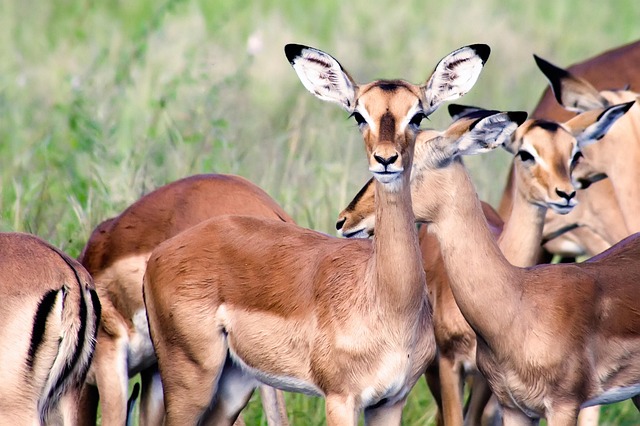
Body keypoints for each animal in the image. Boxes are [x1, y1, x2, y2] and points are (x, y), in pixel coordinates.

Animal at [142, 43, 490, 425]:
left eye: (417, 116)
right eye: (358, 115)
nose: (386, 159)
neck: (387, 299)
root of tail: (158, 256)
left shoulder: (390, 402)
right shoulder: (340, 399)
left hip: (231, 388)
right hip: (191, 381)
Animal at [343, 93, 640, 423]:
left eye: (404, 164)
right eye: (526, 154)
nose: (345, 219)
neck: (518, 299)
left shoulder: (561, 405)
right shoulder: (495, 394)